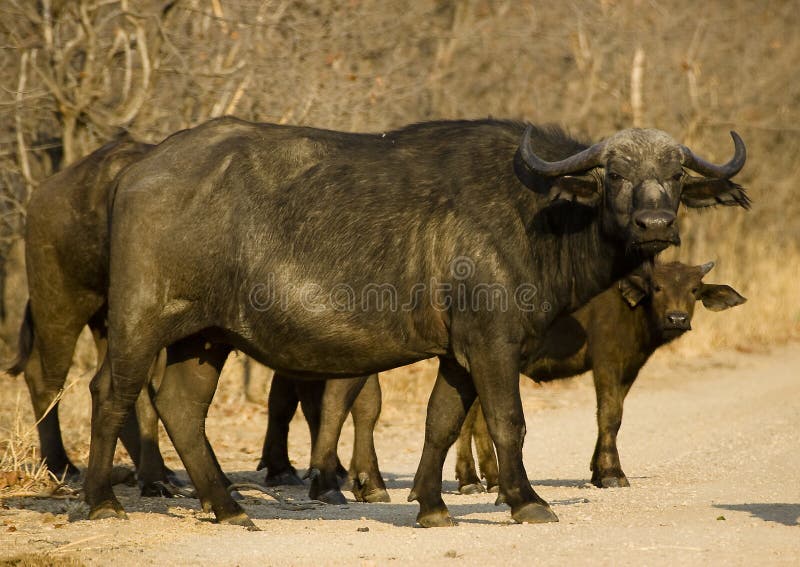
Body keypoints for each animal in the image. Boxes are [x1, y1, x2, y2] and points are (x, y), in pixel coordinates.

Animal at [86, 117, 748, 528]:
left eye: (677, 176)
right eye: (615, 174)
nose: (656, 225)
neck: (540, 214)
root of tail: (136, 171)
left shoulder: (458, 354)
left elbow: (441, 424)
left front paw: (432, 506)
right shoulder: (494, 345)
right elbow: (508, 423)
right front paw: (525, 500)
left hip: (205, 338)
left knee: (180, 407)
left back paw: (228, 507)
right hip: (140, 321)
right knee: (110, 392)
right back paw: (101, 501)